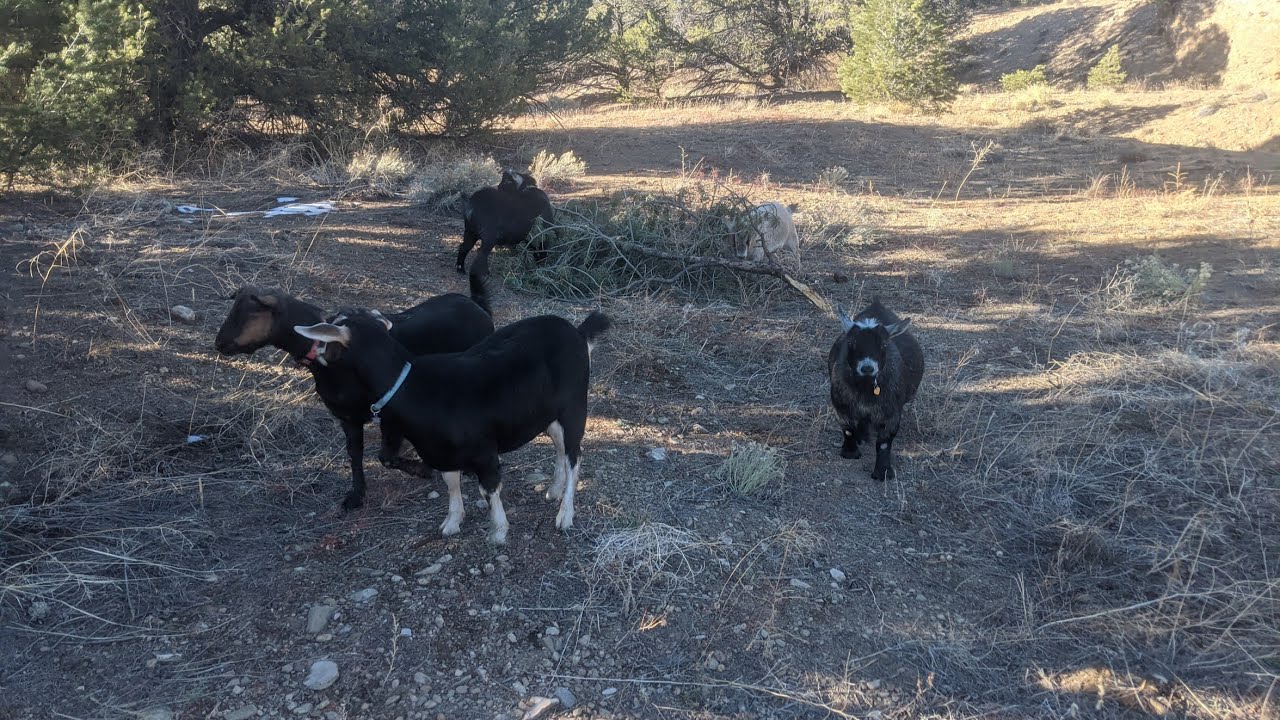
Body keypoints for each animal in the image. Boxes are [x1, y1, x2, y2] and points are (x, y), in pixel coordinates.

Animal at [214, 273, 494, 510]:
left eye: (248, 314)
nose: (219, 343)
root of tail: (475, 305)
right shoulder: (348, 418)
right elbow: (355, 455)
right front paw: (357, 495)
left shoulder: (389, 413)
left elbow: (386, 456)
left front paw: (422, 469)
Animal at [293, 308, 611, 544]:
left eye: (327, 337)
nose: (305, 354)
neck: (409, 385)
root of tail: (579, 332)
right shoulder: (440, 451)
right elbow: (451, 484)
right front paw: (452, 521)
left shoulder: (484, 452)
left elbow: (488, 489)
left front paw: (498, 531)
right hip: (549, 415)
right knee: (560, 450)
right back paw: (554, 489)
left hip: (573, 407)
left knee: (574, 457)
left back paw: (565, 515)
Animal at [827, 299, 924, 481]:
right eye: (851, 343)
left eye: (884, 344)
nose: (867, 368)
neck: (864, 390)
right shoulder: (840, 406)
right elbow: (848, 429)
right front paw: (850, 452)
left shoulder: (892, 413)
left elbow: (884, 442)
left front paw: (883, 472)